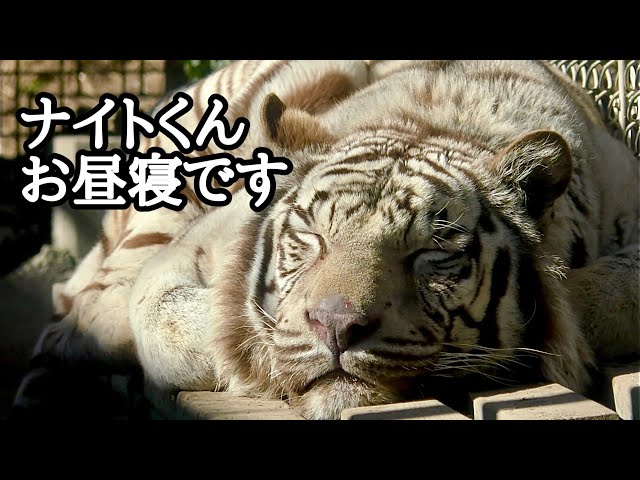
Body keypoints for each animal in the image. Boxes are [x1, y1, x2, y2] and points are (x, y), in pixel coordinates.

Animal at [12, 60, 639, 420]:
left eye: (432, 253)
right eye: (312, 238)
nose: (335, 327)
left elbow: (601, 297)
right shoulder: (184, 254)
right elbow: (174, 315)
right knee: (80, 304)